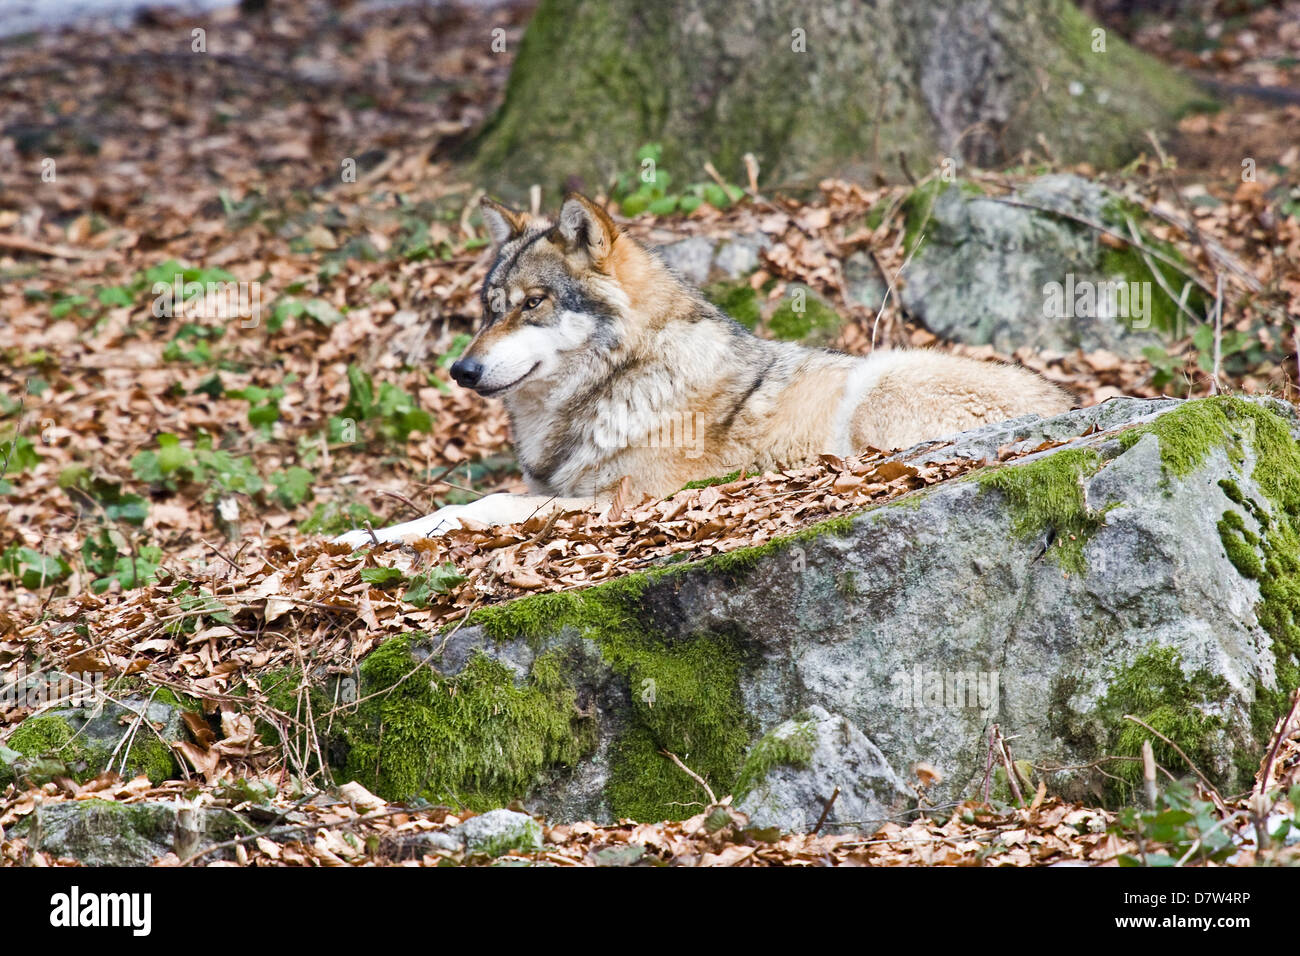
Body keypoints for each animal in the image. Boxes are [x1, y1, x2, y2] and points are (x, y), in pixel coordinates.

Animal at [334, 193, 1070, 546]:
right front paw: (359, 534)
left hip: (878, 382)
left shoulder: (621, 500)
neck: (622, 377)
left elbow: (477, 504)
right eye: (489, 309)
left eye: (533, 303)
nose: (462, 369)